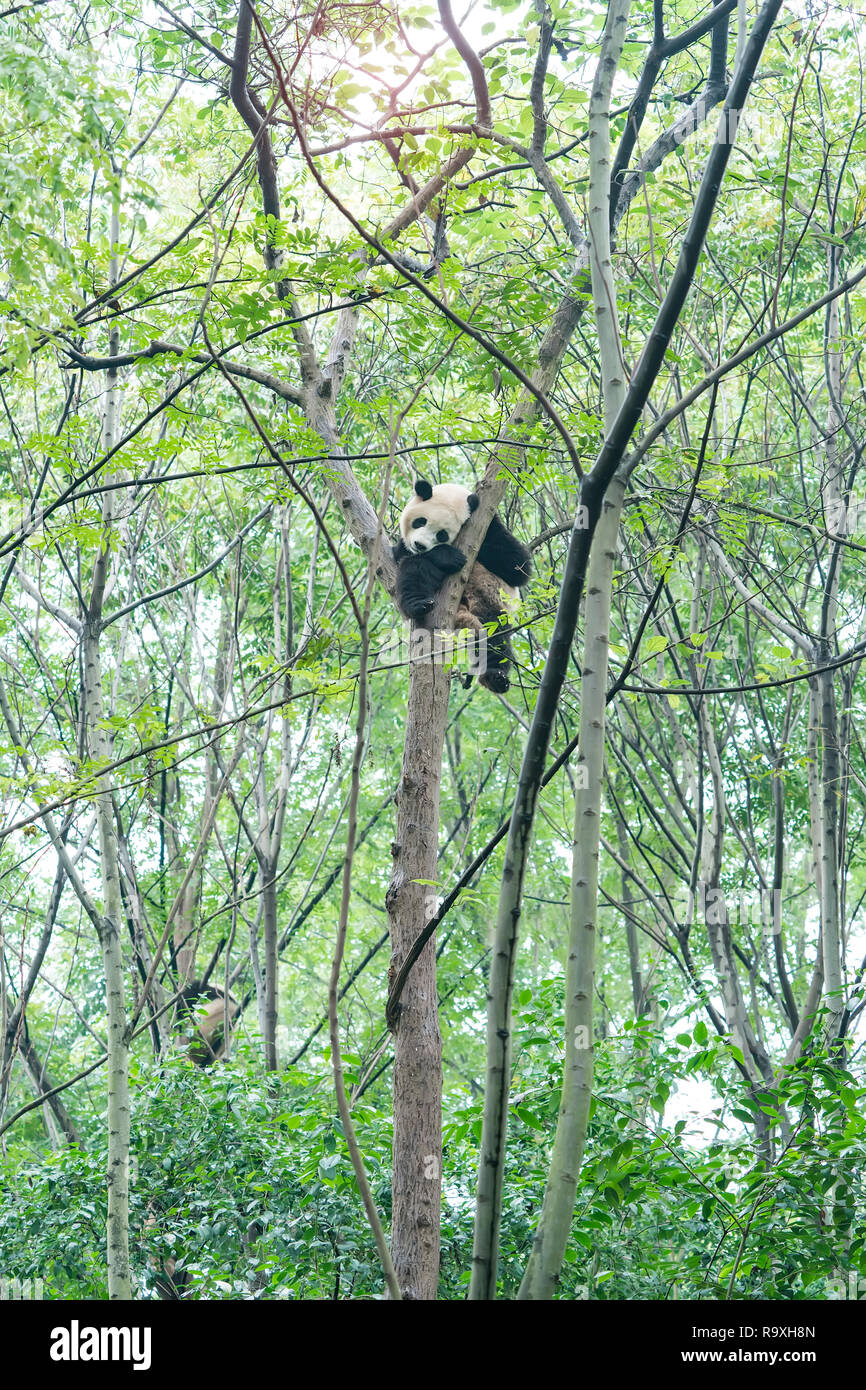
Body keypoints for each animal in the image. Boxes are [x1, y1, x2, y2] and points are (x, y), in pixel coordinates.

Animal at [393, 479, 531, 693]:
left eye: (441, 534)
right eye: (420, 521)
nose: (420, 545)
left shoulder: (489, 526)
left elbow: (517, 566)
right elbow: (402, 556)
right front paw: (446, 556)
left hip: (491, 602)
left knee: (495, 636)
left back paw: (495, 676)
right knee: (414, 570)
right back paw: (417, 604)